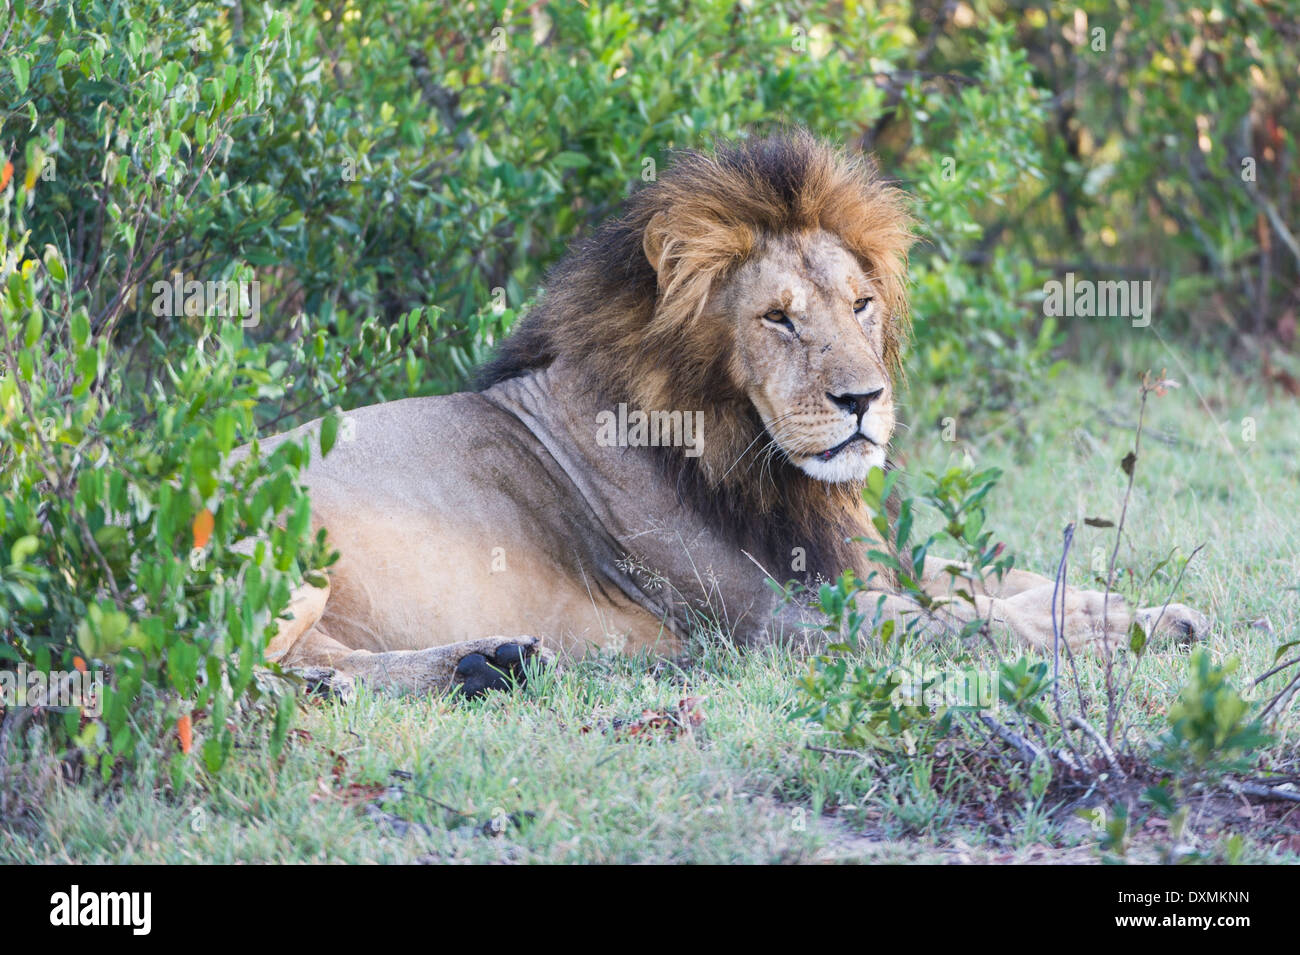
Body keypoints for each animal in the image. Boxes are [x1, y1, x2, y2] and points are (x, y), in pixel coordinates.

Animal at [256, 131, 1209, 696]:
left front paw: (1151, 611)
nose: (864, 401)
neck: (753, 453)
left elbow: (1001, 580)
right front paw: (1102, 635)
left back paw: (483, 662)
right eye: (778, 318)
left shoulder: (846, 558)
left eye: (862, 304)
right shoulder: (776, 620)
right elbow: (971, 620)